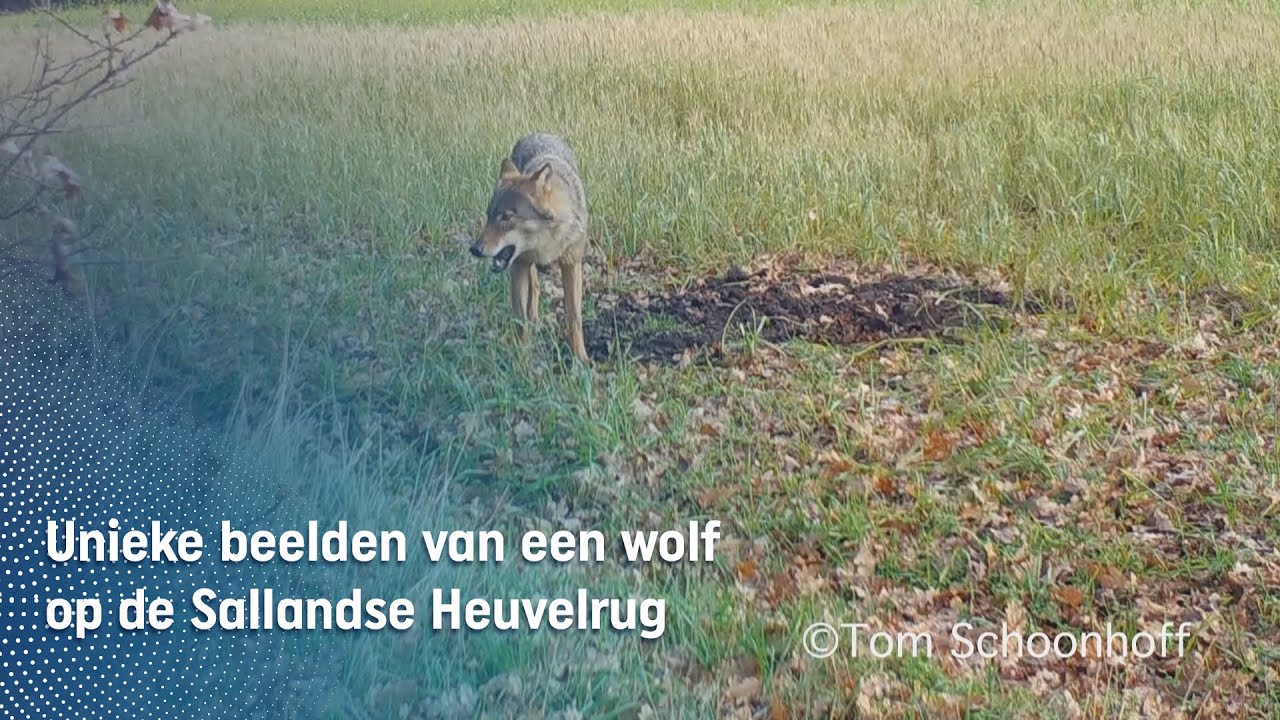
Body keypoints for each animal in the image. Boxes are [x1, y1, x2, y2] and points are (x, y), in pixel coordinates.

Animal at [470, 133, 591, 364]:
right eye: (489, 215)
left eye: (506, 217)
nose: (474, 249)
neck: (548, 243)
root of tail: (538, 133)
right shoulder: (518, 266)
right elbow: (519, 319)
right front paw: (522, 358)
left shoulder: (572, 265)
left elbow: (574, 318)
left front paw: (580, 358)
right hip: (525, 265)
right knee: (534, 287)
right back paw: (534, 320)